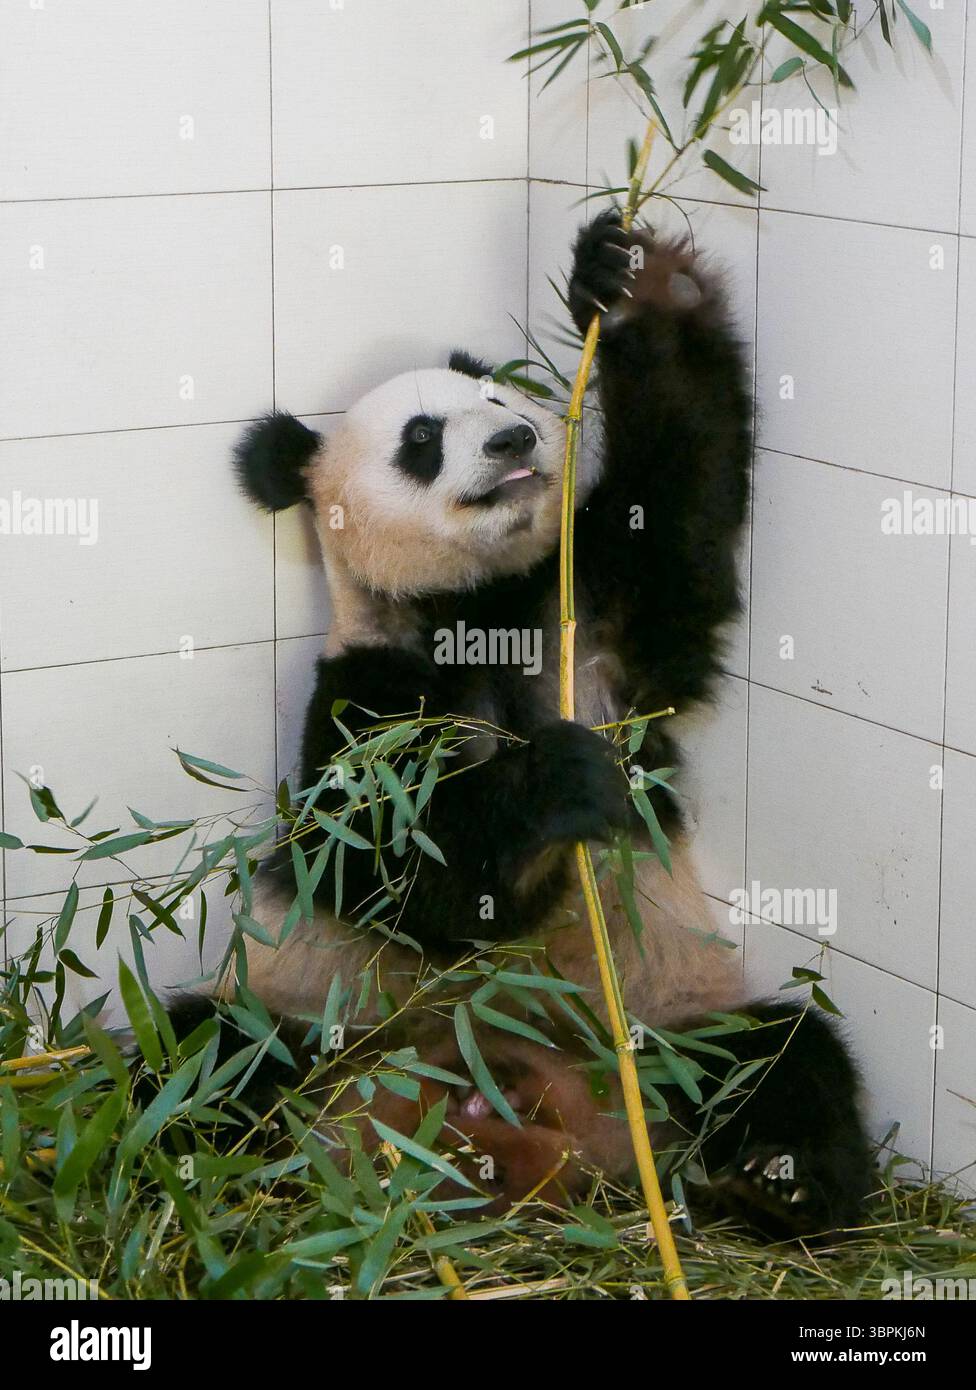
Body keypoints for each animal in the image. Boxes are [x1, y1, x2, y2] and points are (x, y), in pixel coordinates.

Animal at [167, 209, 874, 1240]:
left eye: (503, 395)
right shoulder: (365, 698)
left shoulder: (589, 622)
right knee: (201, 1059)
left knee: (780, 1052)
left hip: (659, 1035)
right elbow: (403, 870)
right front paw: (558, 782)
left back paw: (777, 1178)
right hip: (320, 1033)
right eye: (423, 436)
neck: (476, 610)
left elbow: (680, 512)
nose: (512, 438)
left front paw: (636, 283)